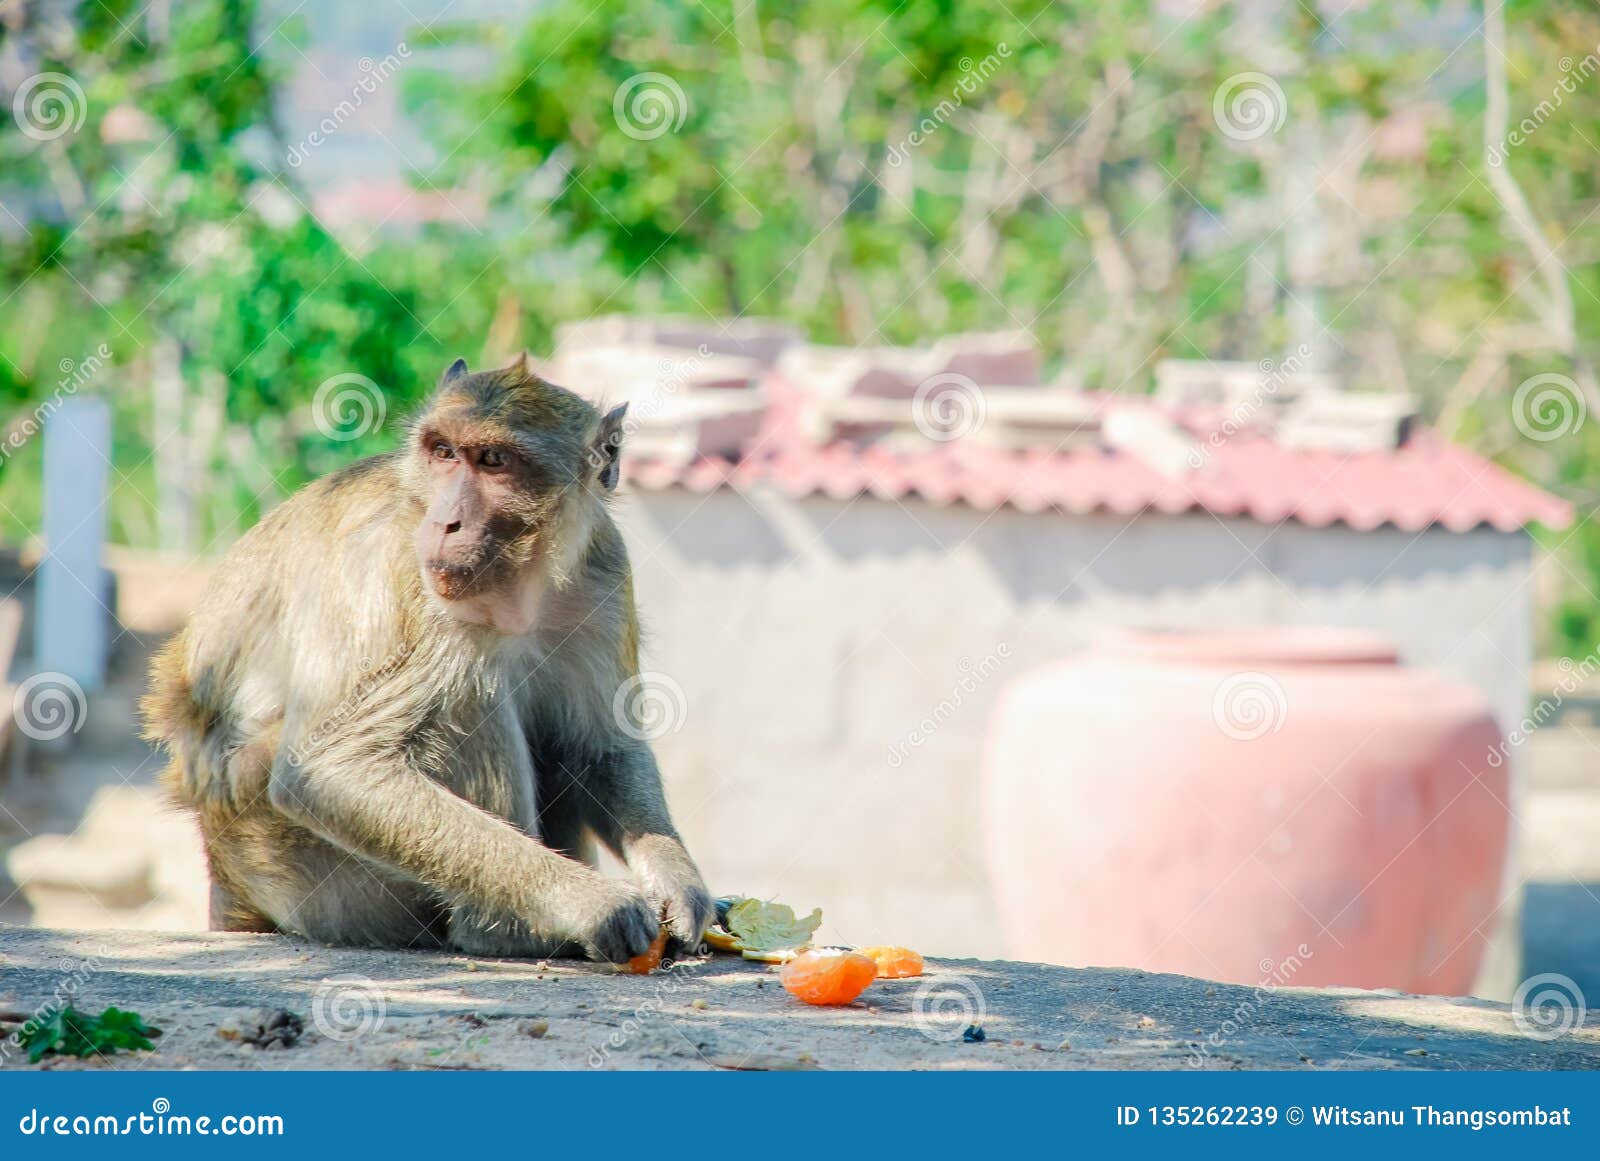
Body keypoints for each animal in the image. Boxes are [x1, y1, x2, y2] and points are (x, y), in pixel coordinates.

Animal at [142, 355, 713, 963]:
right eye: (443, 452)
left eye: (493, 461)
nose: (445, 523)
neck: (520, 582)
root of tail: (224, 872)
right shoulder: (390, 560)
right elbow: (326, 769)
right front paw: (590, 903)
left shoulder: (606, 563)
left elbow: (600, 747)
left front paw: (679, 883)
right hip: (288, 860)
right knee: (470, 686)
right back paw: (505, 931)